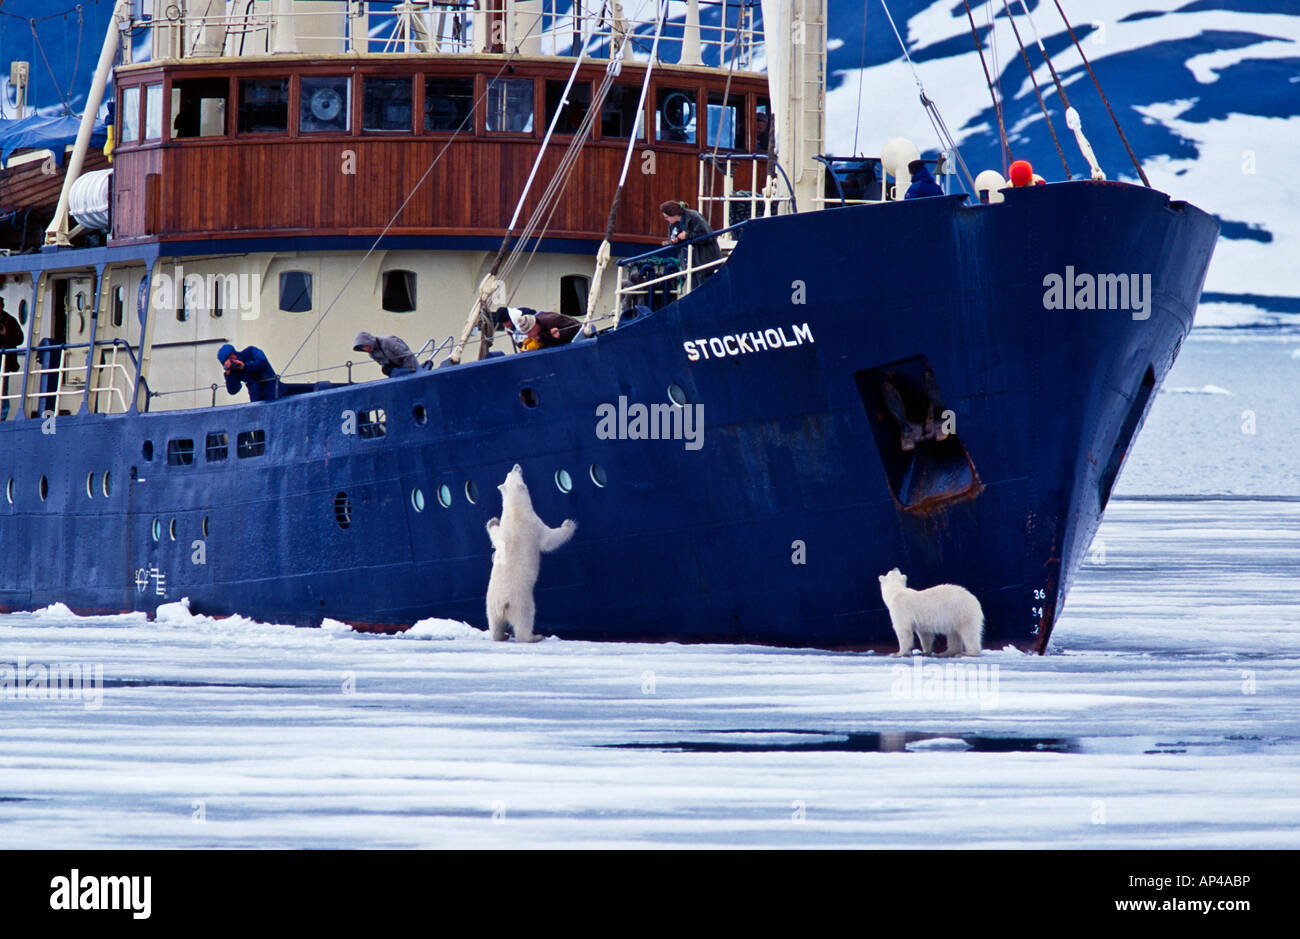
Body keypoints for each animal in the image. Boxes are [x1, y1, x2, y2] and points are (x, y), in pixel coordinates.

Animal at [485, 464, 577, 642]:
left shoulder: (504, 531)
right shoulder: (533, 524)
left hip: (490, 605)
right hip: (521, 601)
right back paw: (534, 636)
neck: (515, 511)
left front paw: (492, 521)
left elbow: (496, 536)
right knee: (525, 619)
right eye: (514, 472)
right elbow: (549, 539)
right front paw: (569, 524)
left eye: (509, 472)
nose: (516, 465)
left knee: (495, 624)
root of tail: (502, 603)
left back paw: (500, 636)